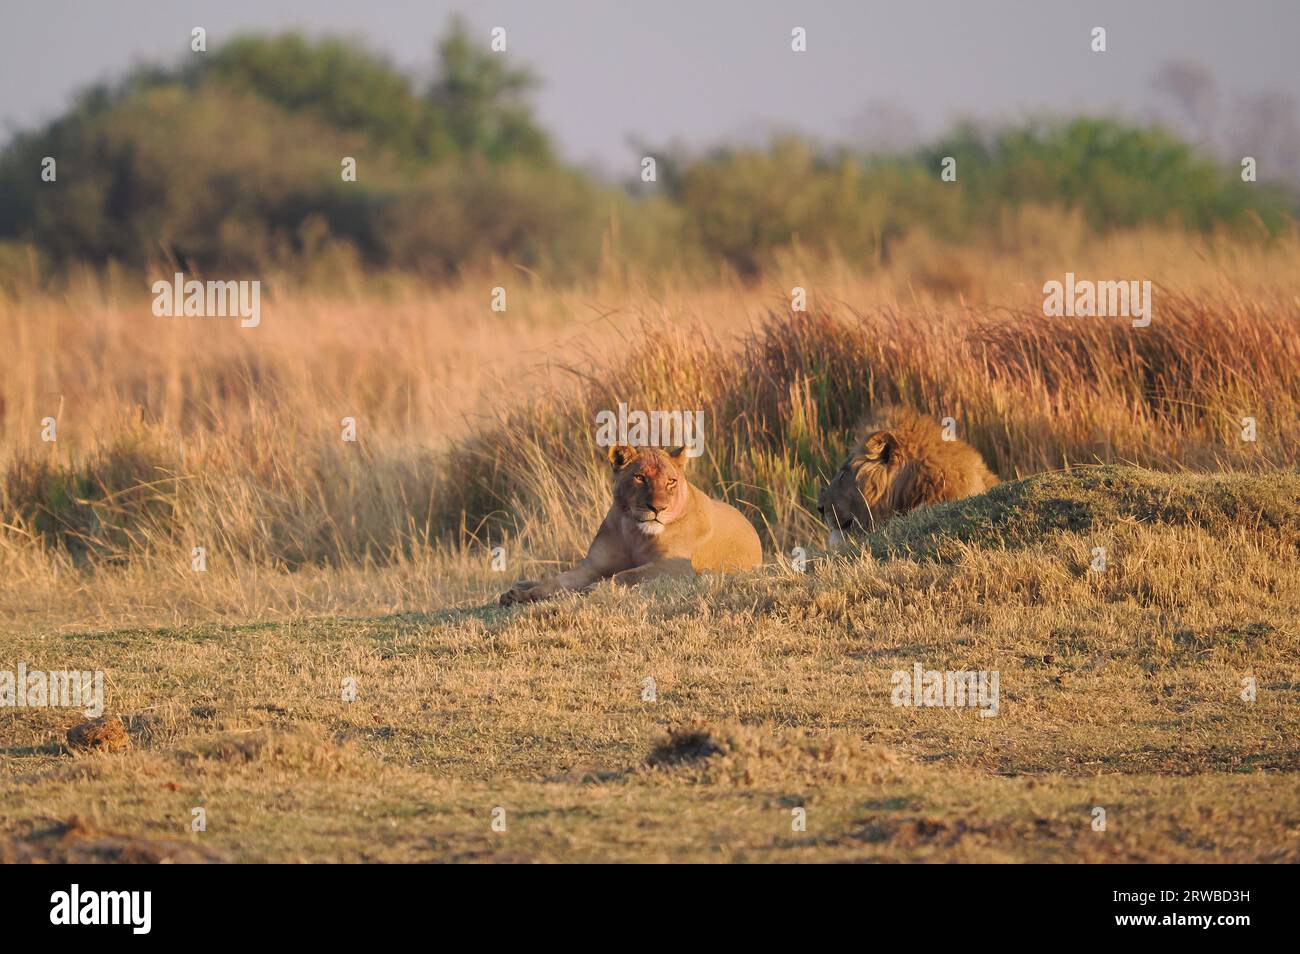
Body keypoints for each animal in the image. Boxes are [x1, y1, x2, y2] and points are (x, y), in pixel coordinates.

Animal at [499, 444, 763, 605]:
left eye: (671, 482)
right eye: (640, 477)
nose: (657, 508)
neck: (635, 533)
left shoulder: (677, 567)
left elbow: (627, 575)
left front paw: (594, 589)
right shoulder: (592, 566)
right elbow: (556, 582)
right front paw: (522, 595)